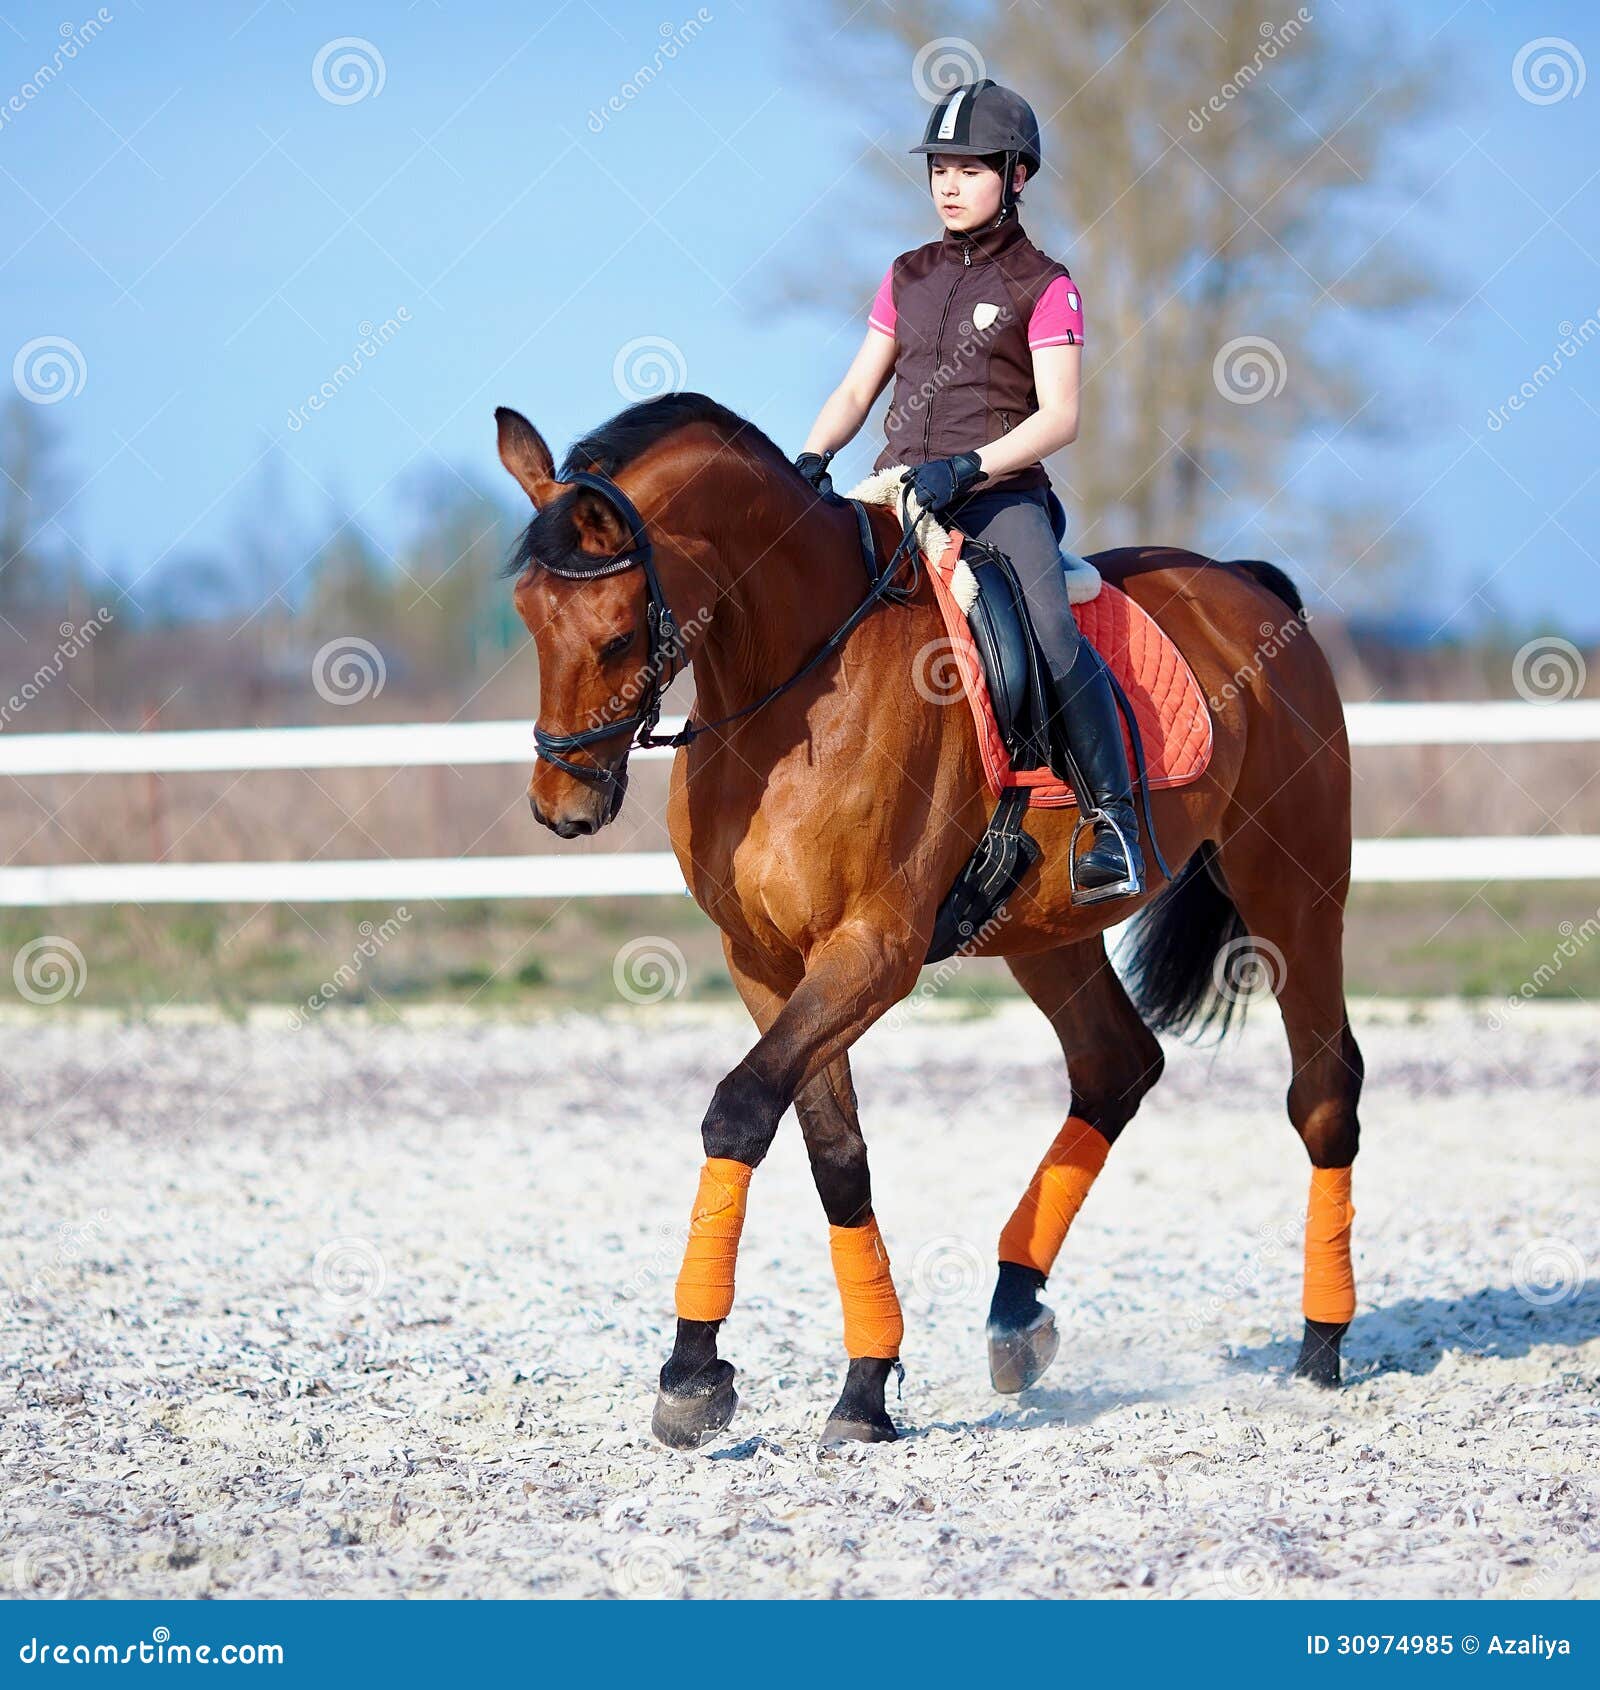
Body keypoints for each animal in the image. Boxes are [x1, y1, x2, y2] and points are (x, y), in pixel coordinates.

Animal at [495, 391, 1364, 1450]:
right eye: (528, 618)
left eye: (619, 636)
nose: (561, 808)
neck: (789, 685)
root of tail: (1246, 588)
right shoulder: (765, 963)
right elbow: (832, 1153)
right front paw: (860, 1383)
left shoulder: (874, 952)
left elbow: (739, 1108)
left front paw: (694, 1374)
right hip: (1048, 931)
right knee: (1115, 1066)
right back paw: (1016, 1314)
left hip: (1294, 892)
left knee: (1322, 1088)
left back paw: (1319, 1347)